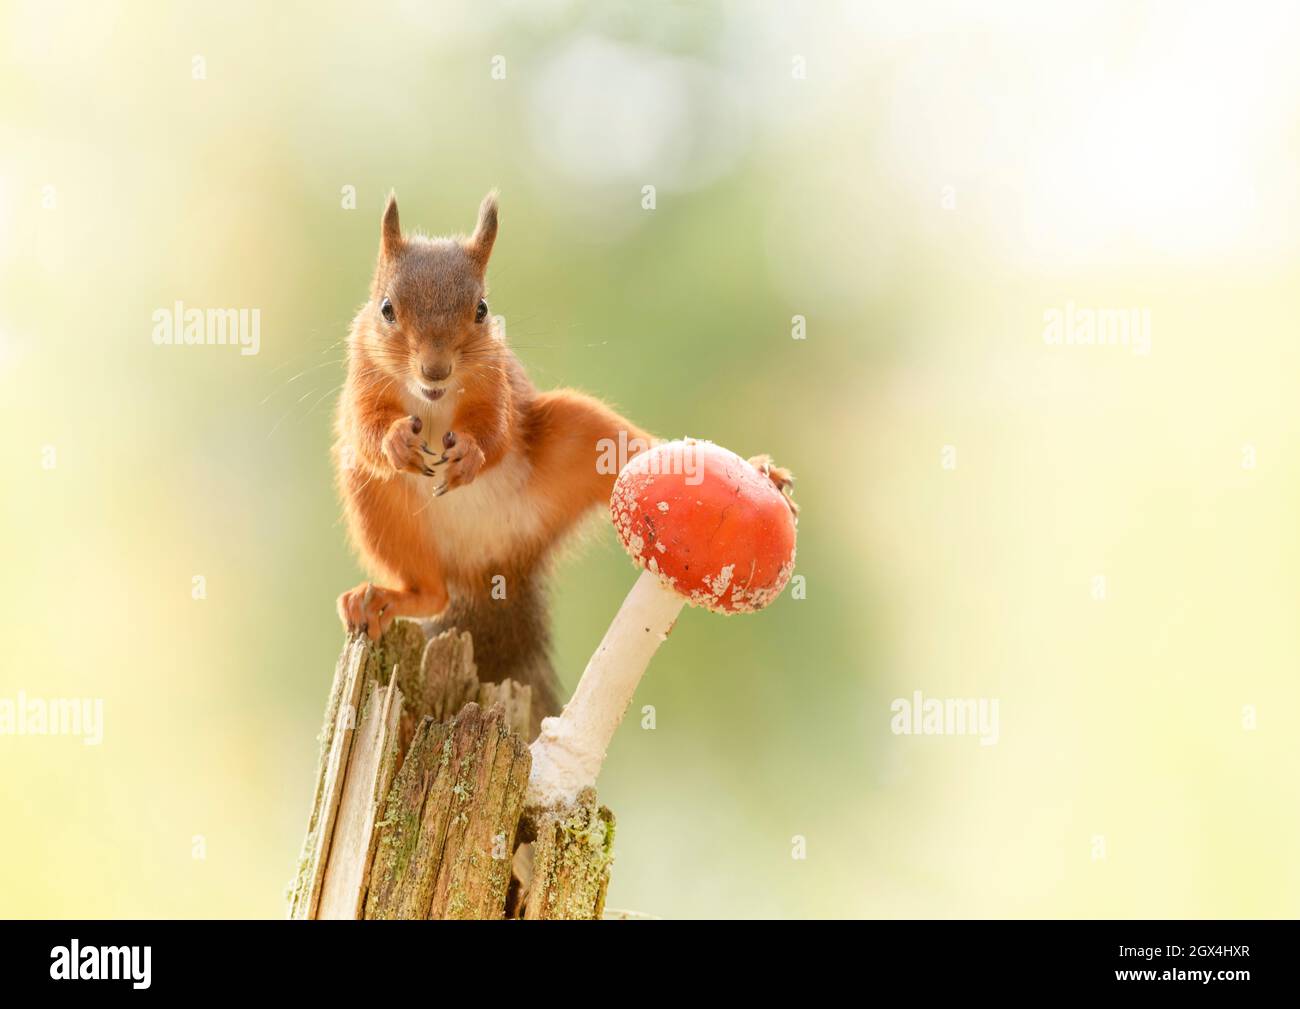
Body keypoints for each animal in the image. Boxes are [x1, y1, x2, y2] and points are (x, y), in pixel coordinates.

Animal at [334, 192, 795, 722]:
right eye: (386, 309)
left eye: (482, 310)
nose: (436, 369)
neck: (432, 401)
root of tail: (495, 565)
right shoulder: (362, 374)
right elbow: (364, 428)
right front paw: (394, 442)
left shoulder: (499, 384)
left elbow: (496, 432)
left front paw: (471, 454)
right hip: (375, 504)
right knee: (431, 591)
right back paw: (379, 599)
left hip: (580, 435)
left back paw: (754, 467)